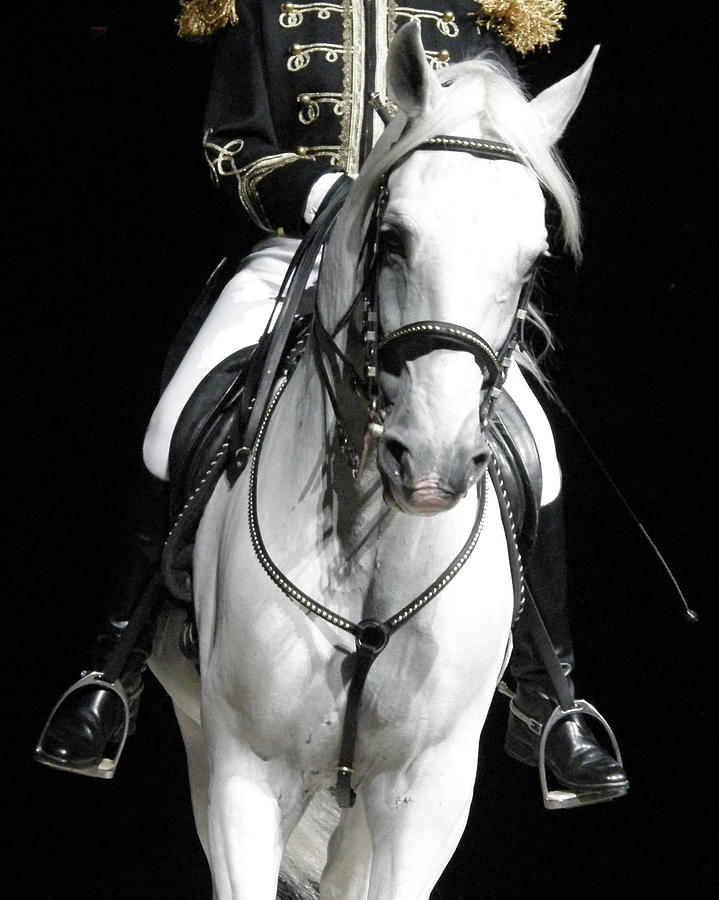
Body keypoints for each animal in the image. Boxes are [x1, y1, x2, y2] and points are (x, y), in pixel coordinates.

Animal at [150, 22, 597, 899]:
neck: (369, 541)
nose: (432, 461)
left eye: (531, 263)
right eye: (391, 239)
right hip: (199, 738)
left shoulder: (425, 795)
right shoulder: (244, 779)